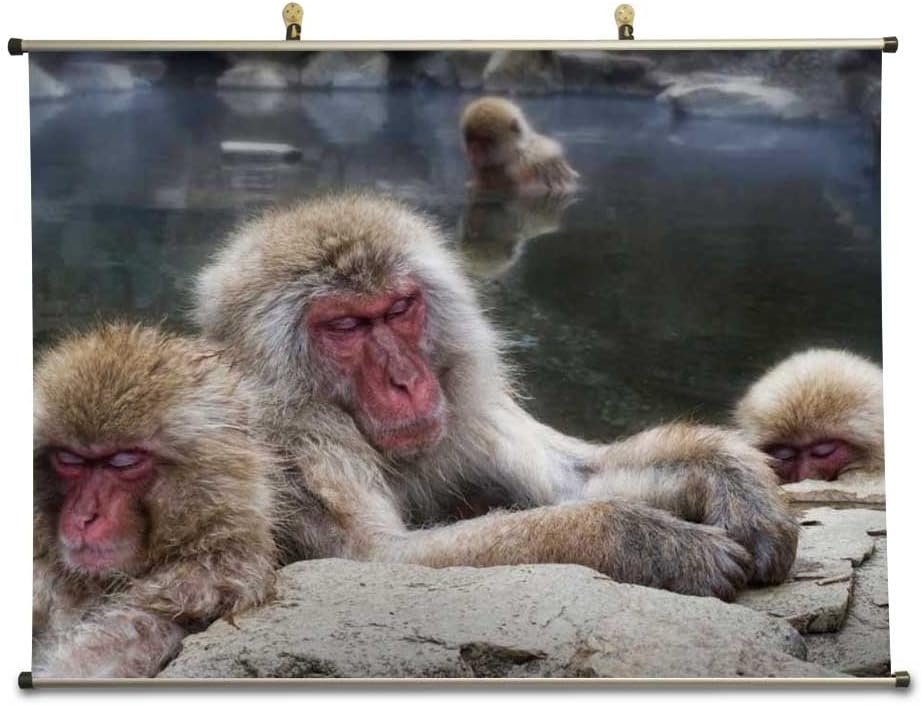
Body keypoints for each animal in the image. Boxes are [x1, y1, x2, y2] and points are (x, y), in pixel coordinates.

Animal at [192, 192, 798, 602]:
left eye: (399, 308)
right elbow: (378, 558)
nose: (405, 381)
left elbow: (574, 479)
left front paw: (734, 479)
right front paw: (646, 541)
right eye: (344, 326)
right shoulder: (292, 442)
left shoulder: (467, 407)